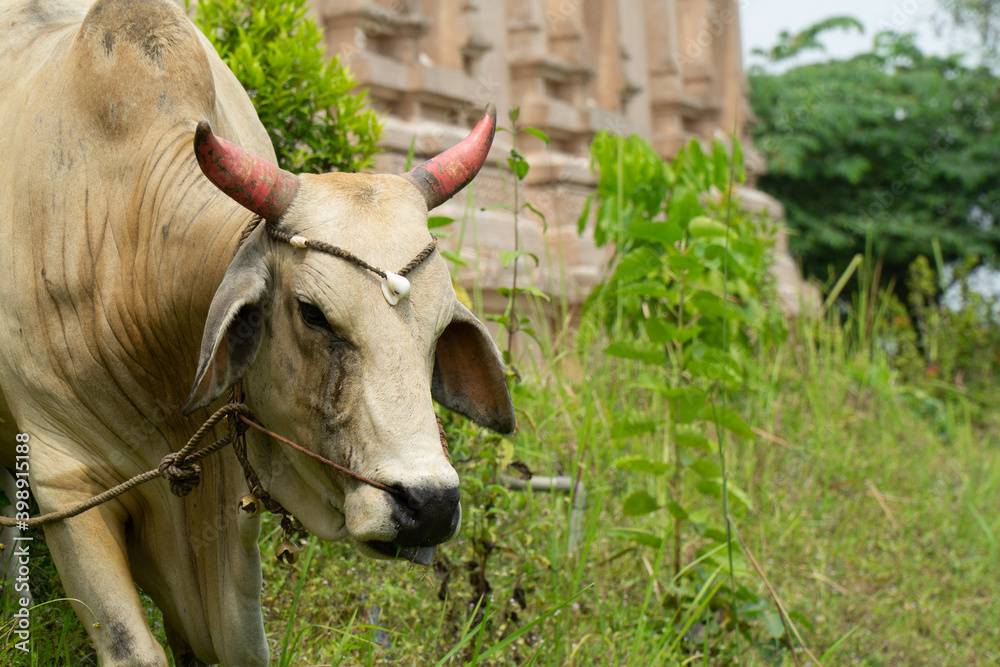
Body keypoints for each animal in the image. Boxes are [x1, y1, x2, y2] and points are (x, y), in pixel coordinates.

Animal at [0, 0, 514, 664]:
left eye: (439, 326)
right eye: (312, 312)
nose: (428, 505)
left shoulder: (226, 508)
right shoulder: (65, 480)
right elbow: (131, 645)